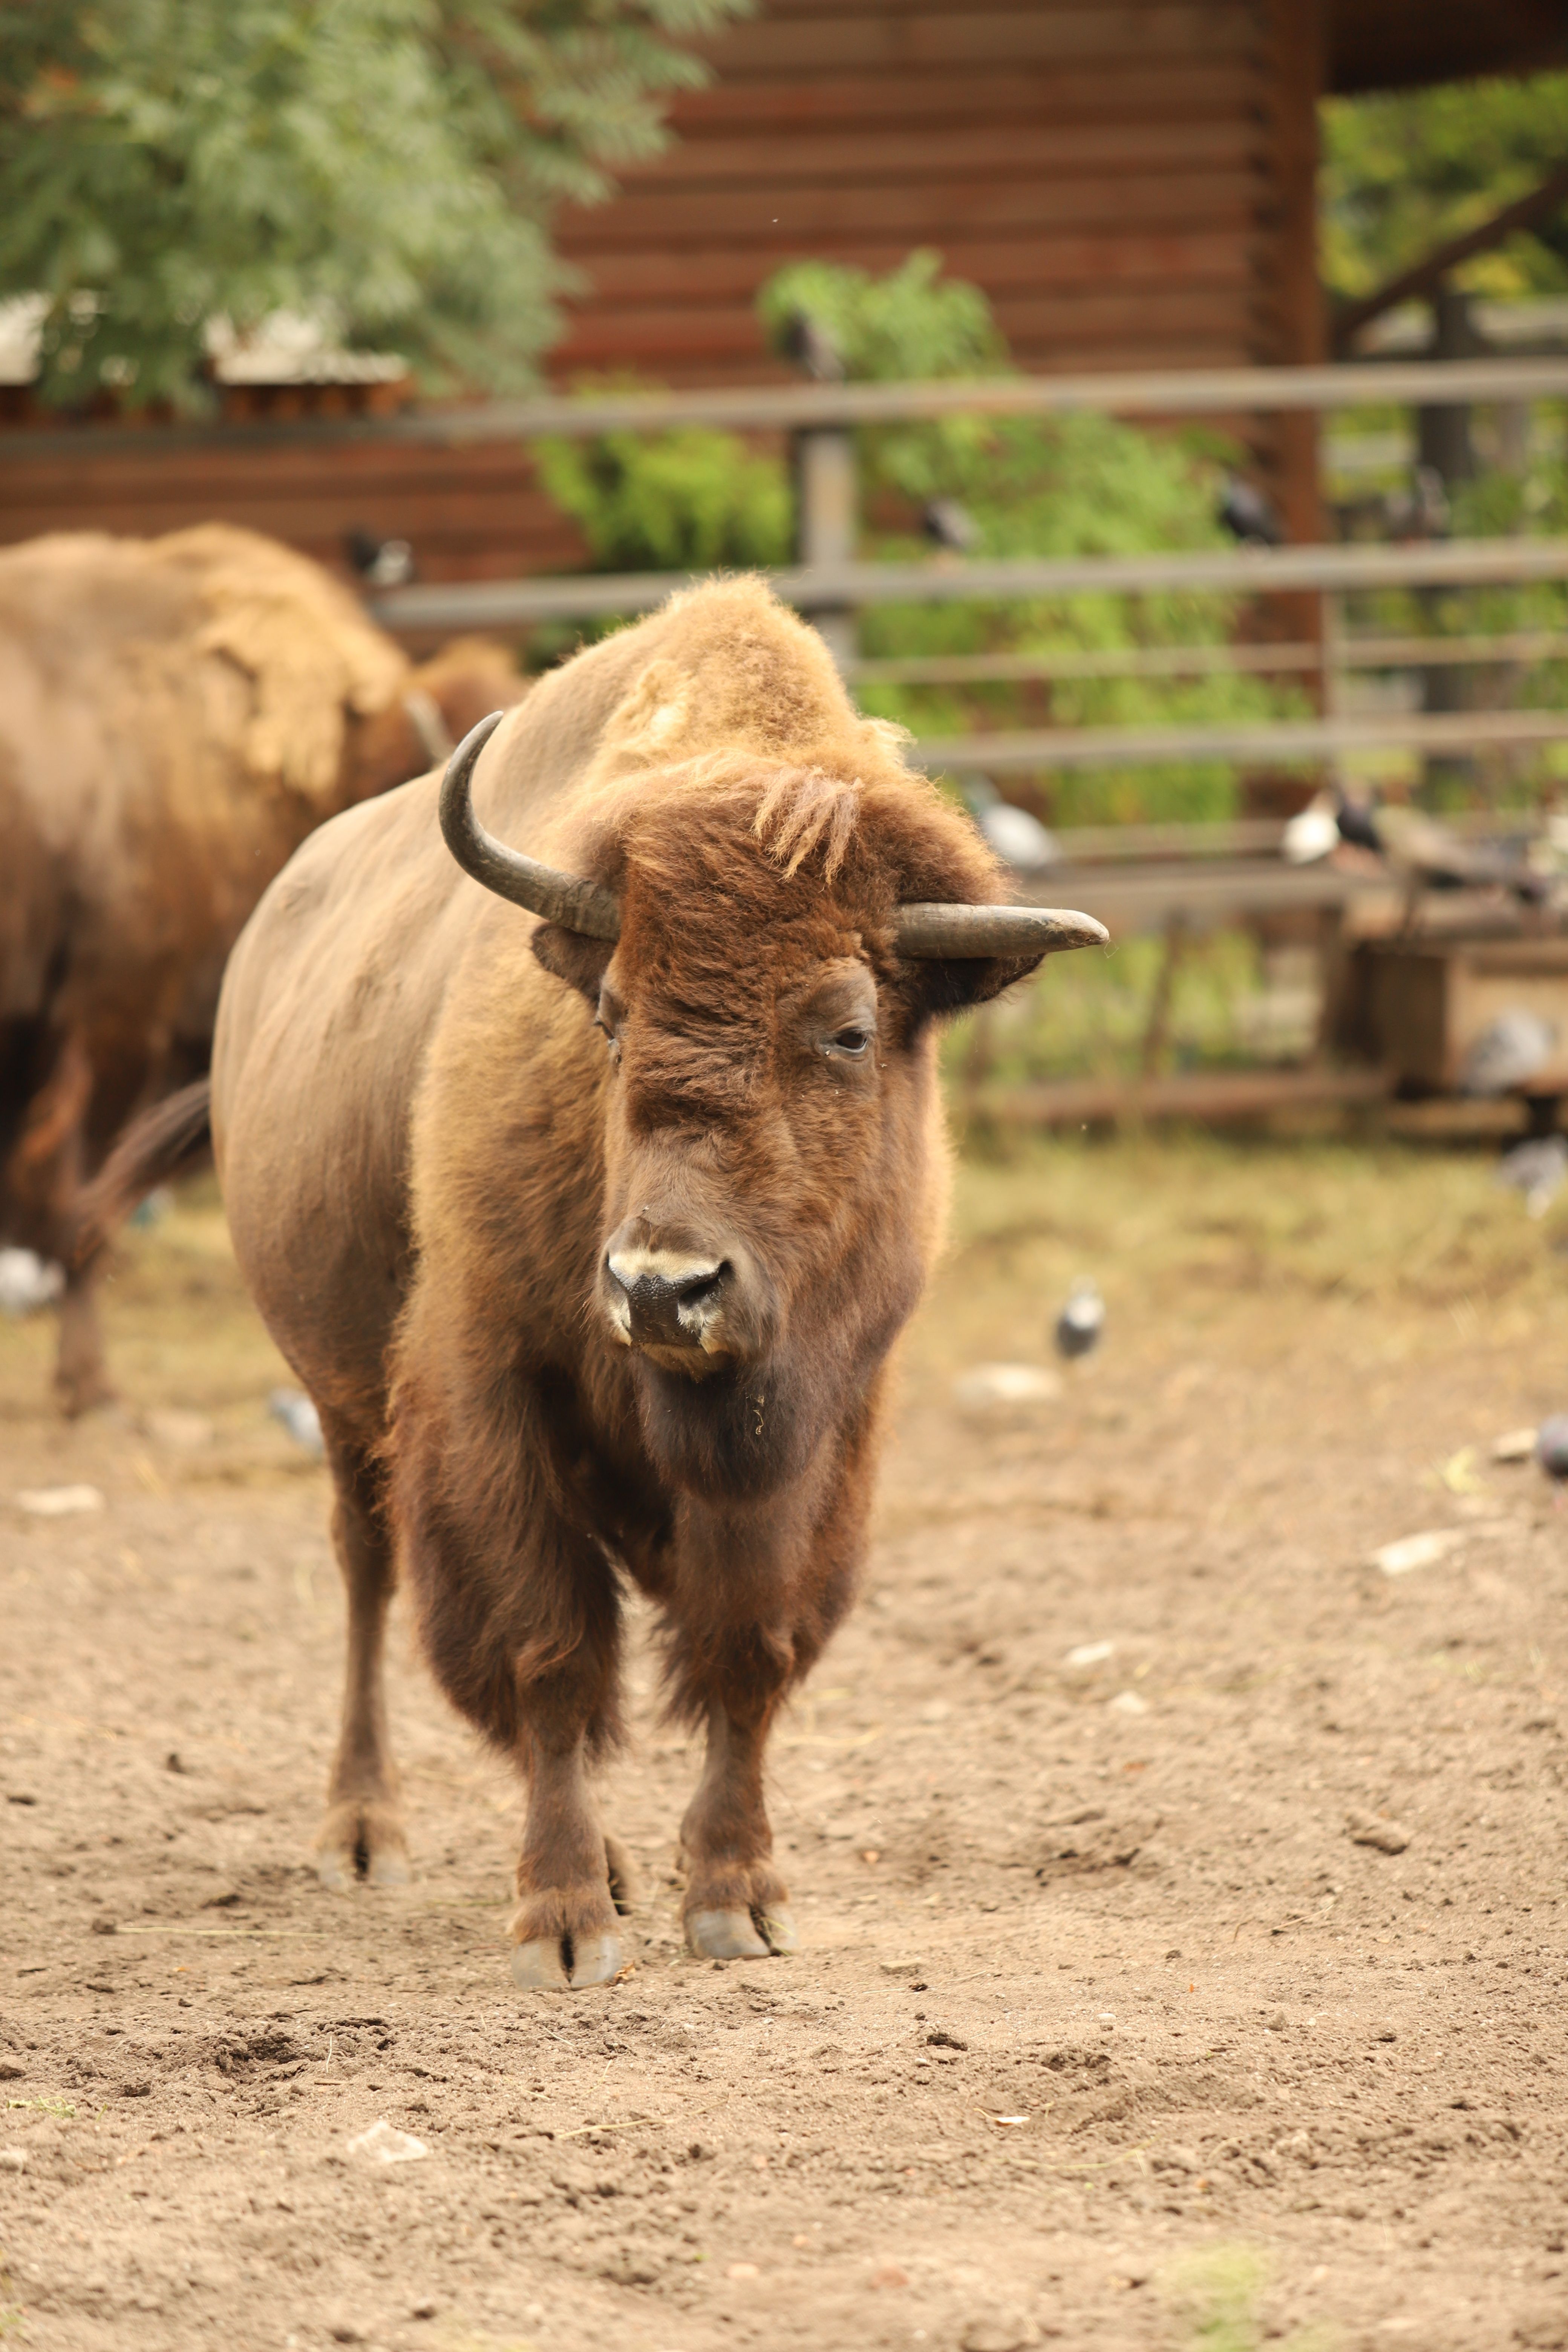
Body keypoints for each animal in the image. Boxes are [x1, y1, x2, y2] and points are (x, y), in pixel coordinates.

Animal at [103, 579, 1104, 1985]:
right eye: (613, 1013)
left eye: (850, 1028)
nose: (662, 1289)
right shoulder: (489, 1391)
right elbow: (547, 1650)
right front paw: (565, 1921)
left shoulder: (820, 1429)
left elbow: (749, 1648)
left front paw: (738, 1897)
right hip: (342, 1400)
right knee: (369, 1576)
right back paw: (366, 1835)